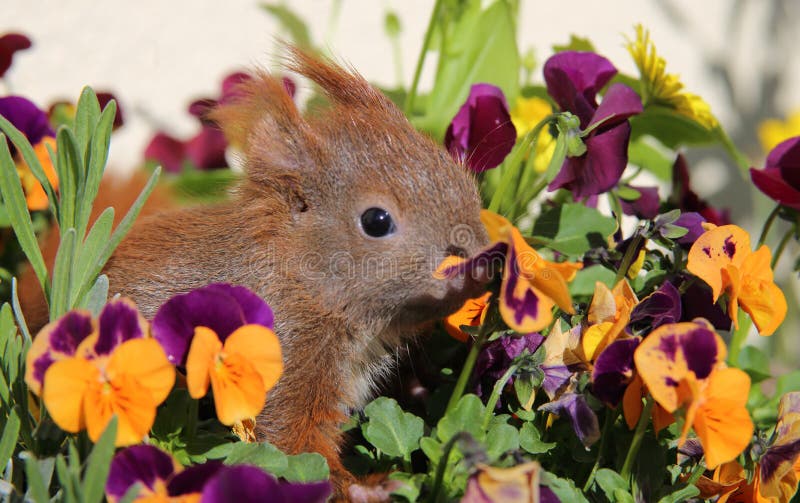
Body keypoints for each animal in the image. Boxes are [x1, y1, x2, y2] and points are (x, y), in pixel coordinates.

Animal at [31, 49, 491, 500]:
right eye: (376, 221)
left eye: (463, 179)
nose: (482, 260)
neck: (301, 280)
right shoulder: (282, 353)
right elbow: (298, 442)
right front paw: (367, 486)